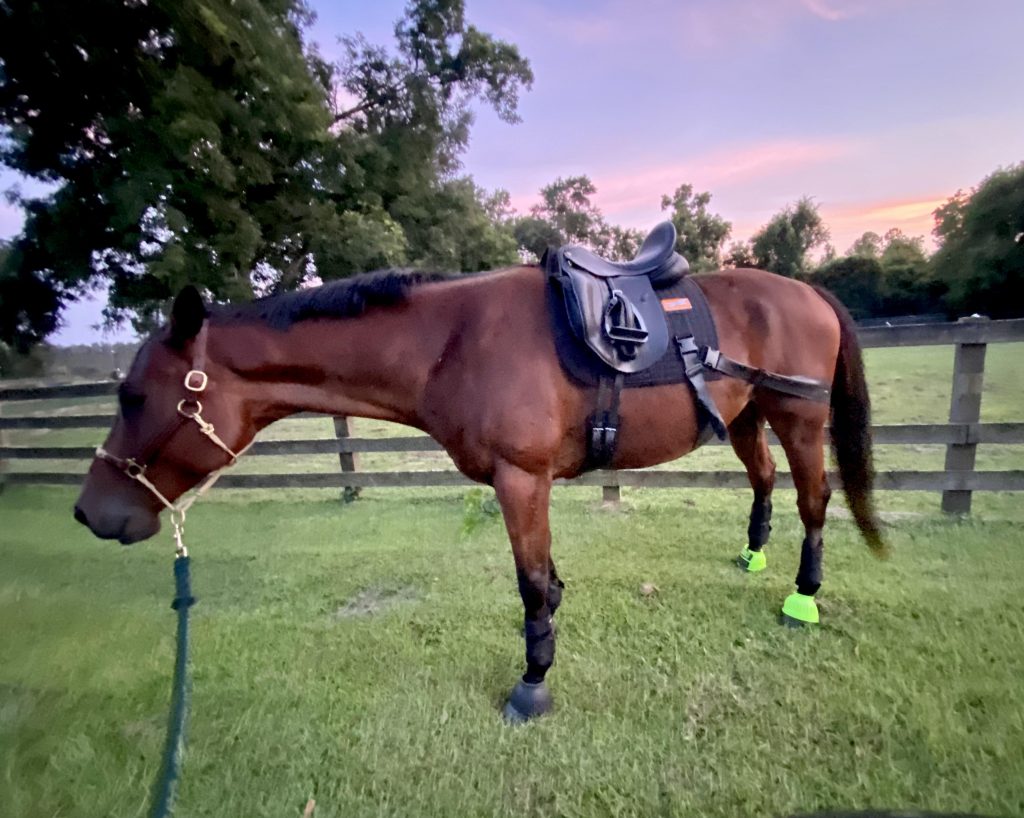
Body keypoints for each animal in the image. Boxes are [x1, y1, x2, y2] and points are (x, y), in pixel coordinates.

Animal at [74, 261, 884, 721]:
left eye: (134, 397)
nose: (89, 511)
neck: (452, 341)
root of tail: (807, 290)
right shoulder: (525, 484)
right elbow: (546, 582)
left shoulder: (520, 480)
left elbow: (532, 587)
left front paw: (533, 682)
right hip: (747, 416)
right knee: (766, 483)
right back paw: (754, 555)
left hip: (798, 417)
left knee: (814, 502)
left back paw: (804, 594)